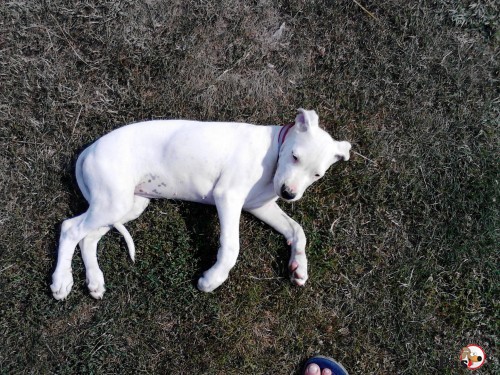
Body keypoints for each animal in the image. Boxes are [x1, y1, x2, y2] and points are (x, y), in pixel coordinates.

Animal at [48, 108, 350, 300]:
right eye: (295, 157)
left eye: (317, 175)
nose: (288, 193)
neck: (274, 149)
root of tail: (90, 148)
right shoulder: (227, 197)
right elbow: (231, 247)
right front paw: (212, 280)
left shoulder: (258, 206)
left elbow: (297, 230)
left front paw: (299, 266)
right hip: (113, 202)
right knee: (70, 228)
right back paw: (62, 281)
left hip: (125, 205)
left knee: (88, 238)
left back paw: (95, 281)